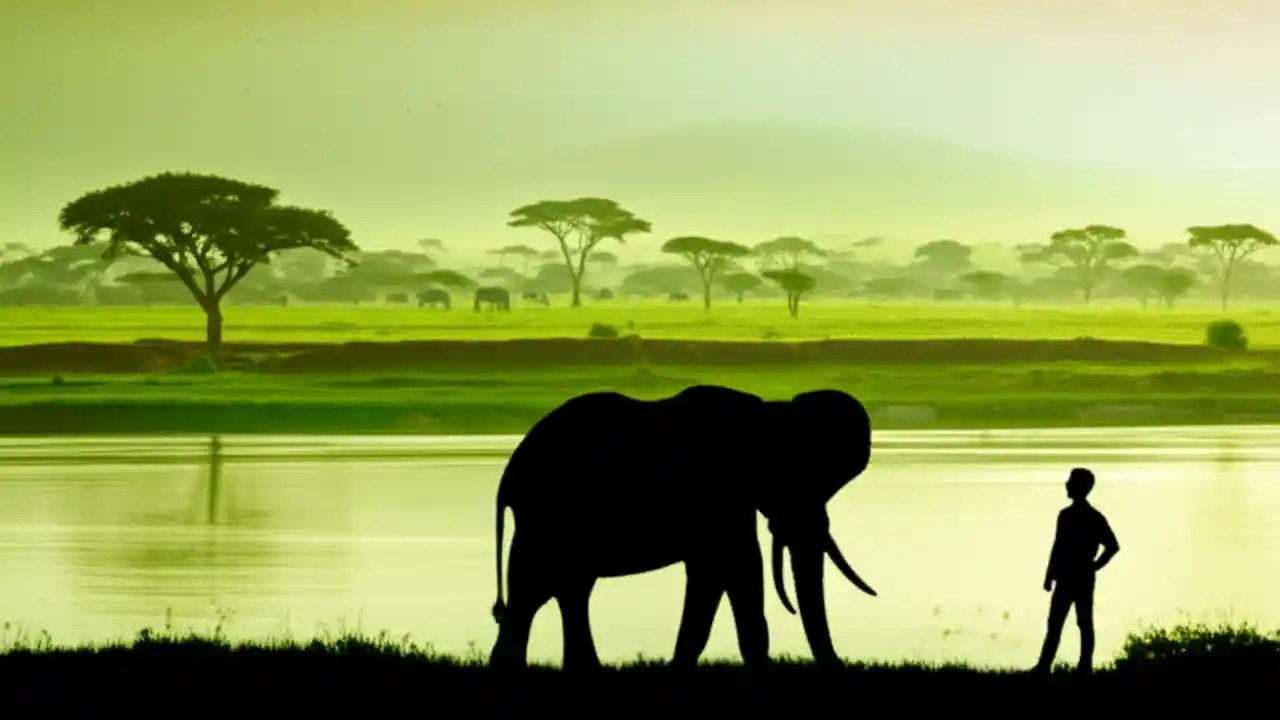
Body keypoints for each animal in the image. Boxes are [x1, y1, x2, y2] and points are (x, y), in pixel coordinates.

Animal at [487, 384, 877, 671]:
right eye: (793, 481)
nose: (839, 666)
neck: (768, 415)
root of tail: (509, 473)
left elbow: (726, 572)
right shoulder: (714, 489)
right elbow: (730, 566)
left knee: (569, 589)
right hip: (545, 513)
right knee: (534, 588)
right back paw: (511, 670)